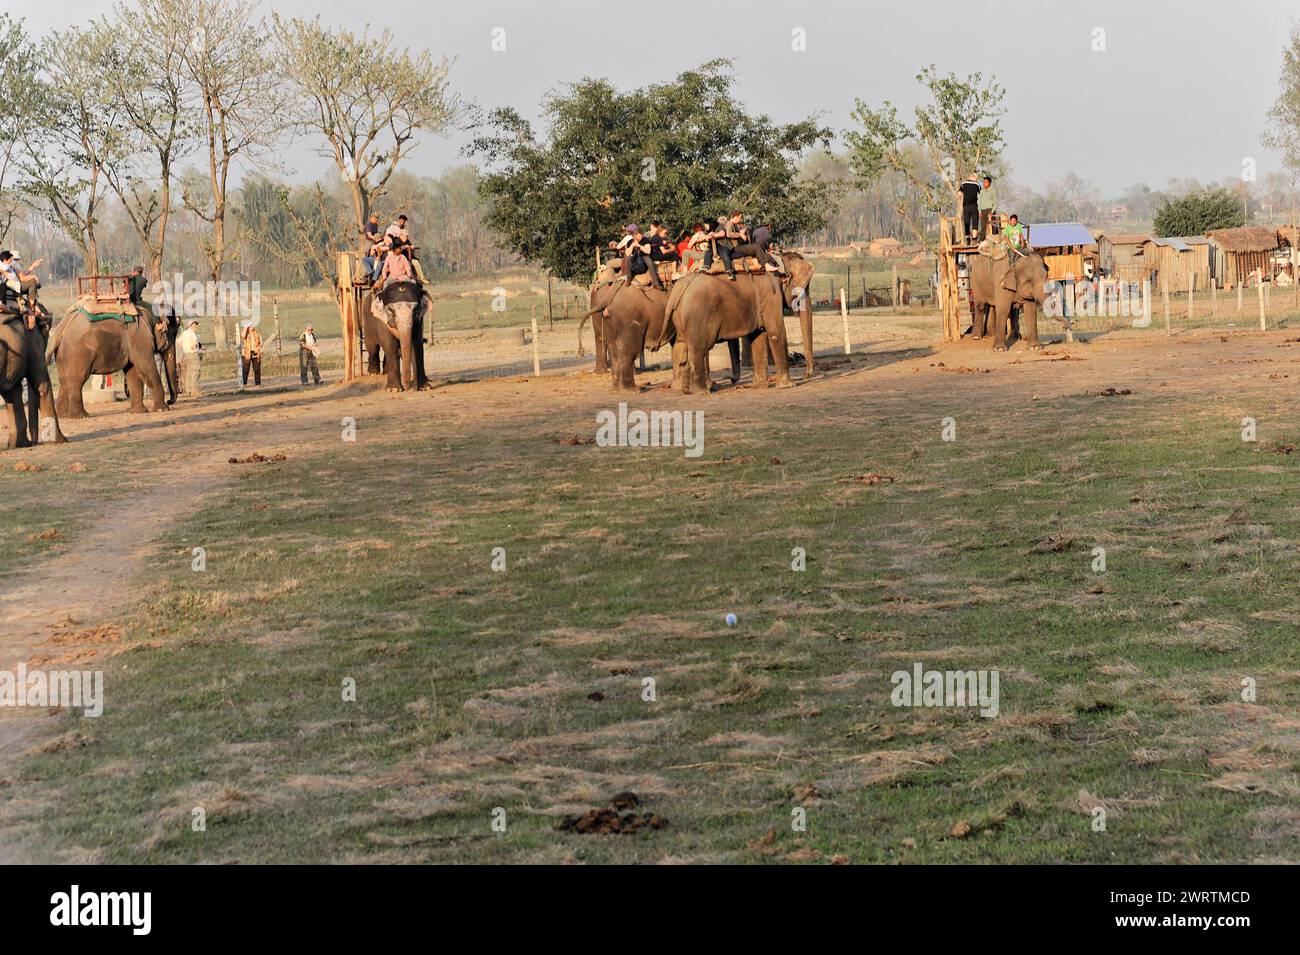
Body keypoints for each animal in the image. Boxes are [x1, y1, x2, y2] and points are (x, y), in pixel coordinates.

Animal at [1, 313, 66, 449]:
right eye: (46, 335)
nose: (33, 442)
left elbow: (12, 392)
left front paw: (20, 444)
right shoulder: (33, 342)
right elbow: (42, 385)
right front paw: (61, 440)